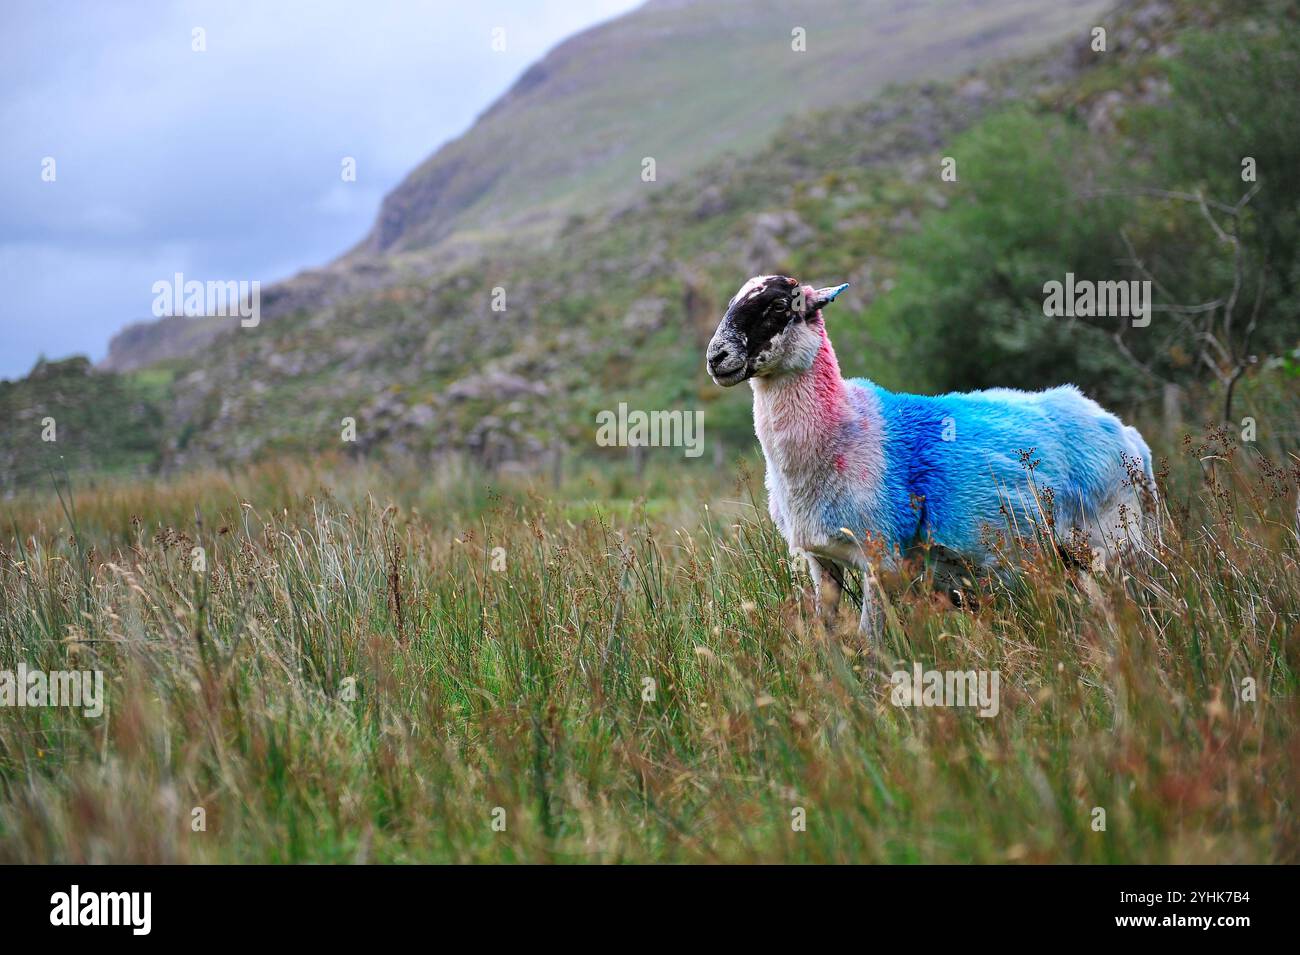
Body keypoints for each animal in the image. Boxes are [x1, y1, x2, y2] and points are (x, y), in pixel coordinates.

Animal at [705, 274, 1158, 635]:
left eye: (780, 306)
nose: (716, 357)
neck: (844, 426)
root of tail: (1127, 433)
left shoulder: (879, 556)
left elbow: (871, 646)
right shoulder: (819, 560)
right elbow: (829, 638)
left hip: (1114, 542)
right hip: (1068, 559)